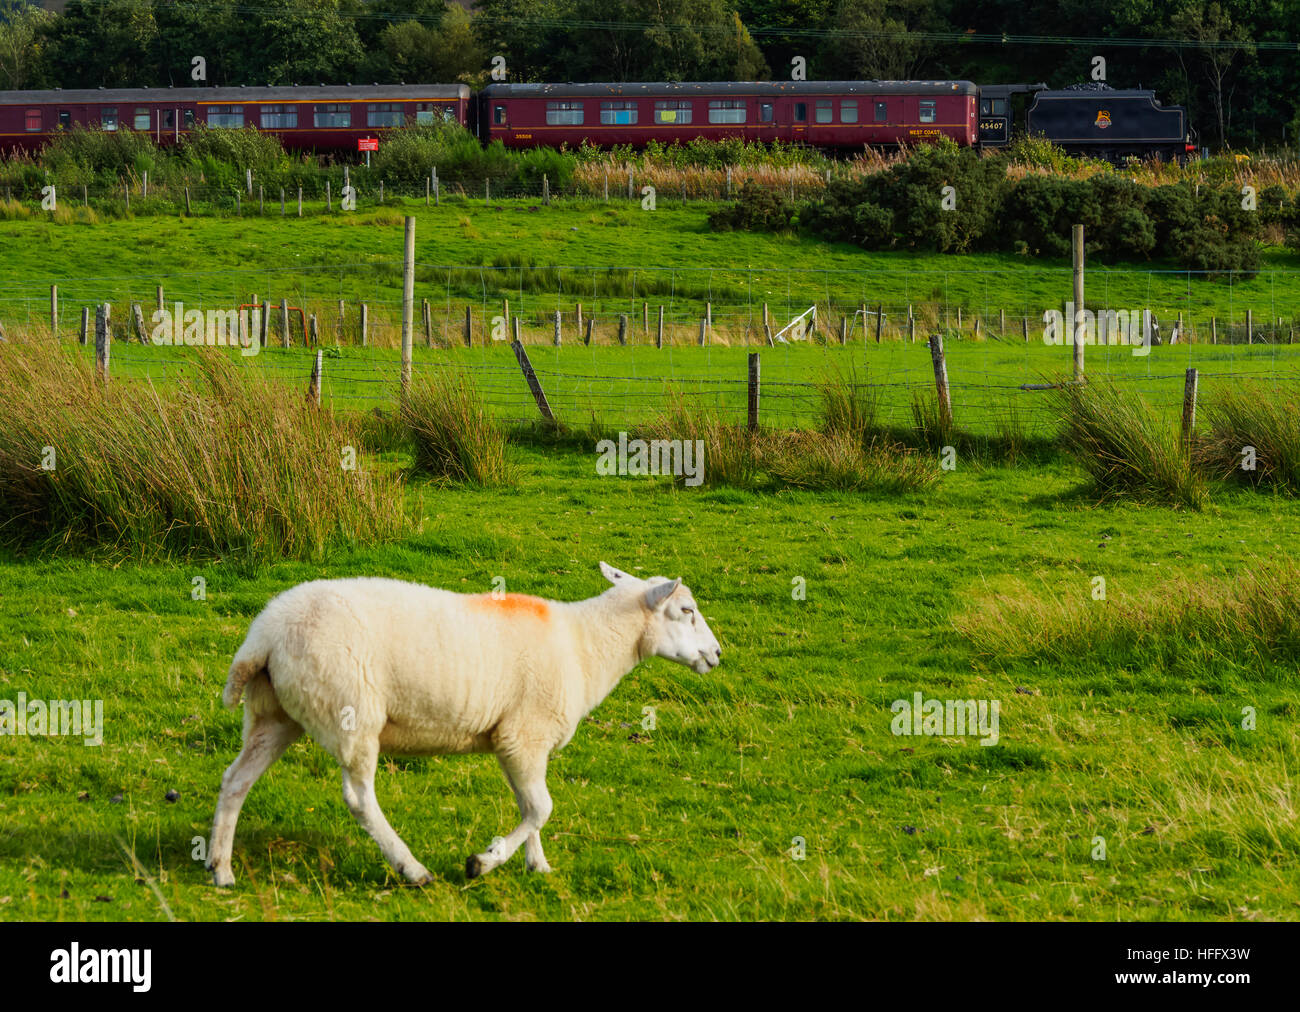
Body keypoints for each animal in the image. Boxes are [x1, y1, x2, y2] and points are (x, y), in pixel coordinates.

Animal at [207, 561, 721, 886]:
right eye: (686, 611)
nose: (717, 654)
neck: (586, 644)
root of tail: (264, 634)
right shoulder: (525, 734)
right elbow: (541, 809)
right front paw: (483, 862)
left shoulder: (514, 742)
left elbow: (529, 807)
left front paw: (537, 866)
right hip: (352, 711)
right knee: (359, 797)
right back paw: (412, 870)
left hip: (274, 713)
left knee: (235, 779)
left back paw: (221, 869)